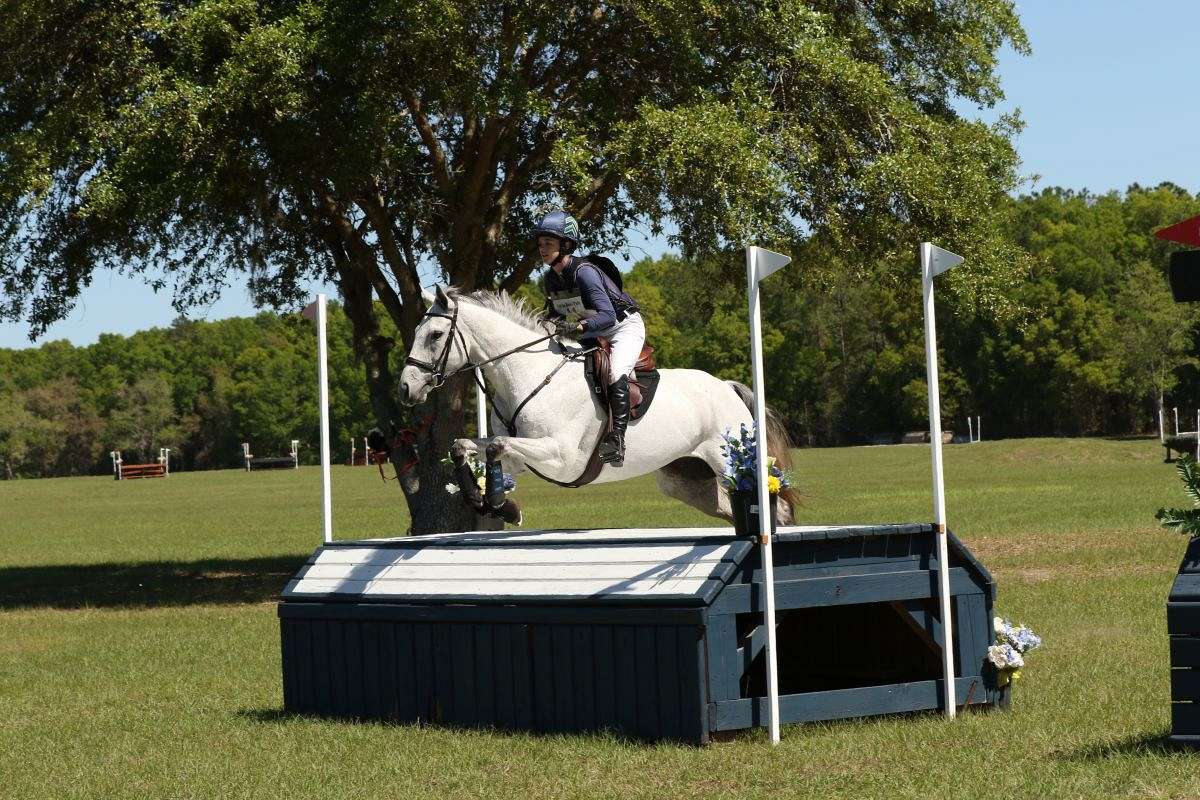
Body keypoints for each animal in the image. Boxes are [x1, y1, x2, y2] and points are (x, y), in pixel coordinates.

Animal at [397, 285, 796, 524]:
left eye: (435, 335)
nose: (405, 388)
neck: (530, 374)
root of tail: (726, 387)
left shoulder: (560, 457)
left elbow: (496, 445)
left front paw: (497, 505)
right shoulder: (523, 459)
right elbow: (466, 447)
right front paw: (493, 504)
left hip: (730, 462)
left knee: (776, 506)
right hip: (685, 480)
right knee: (730, 508)